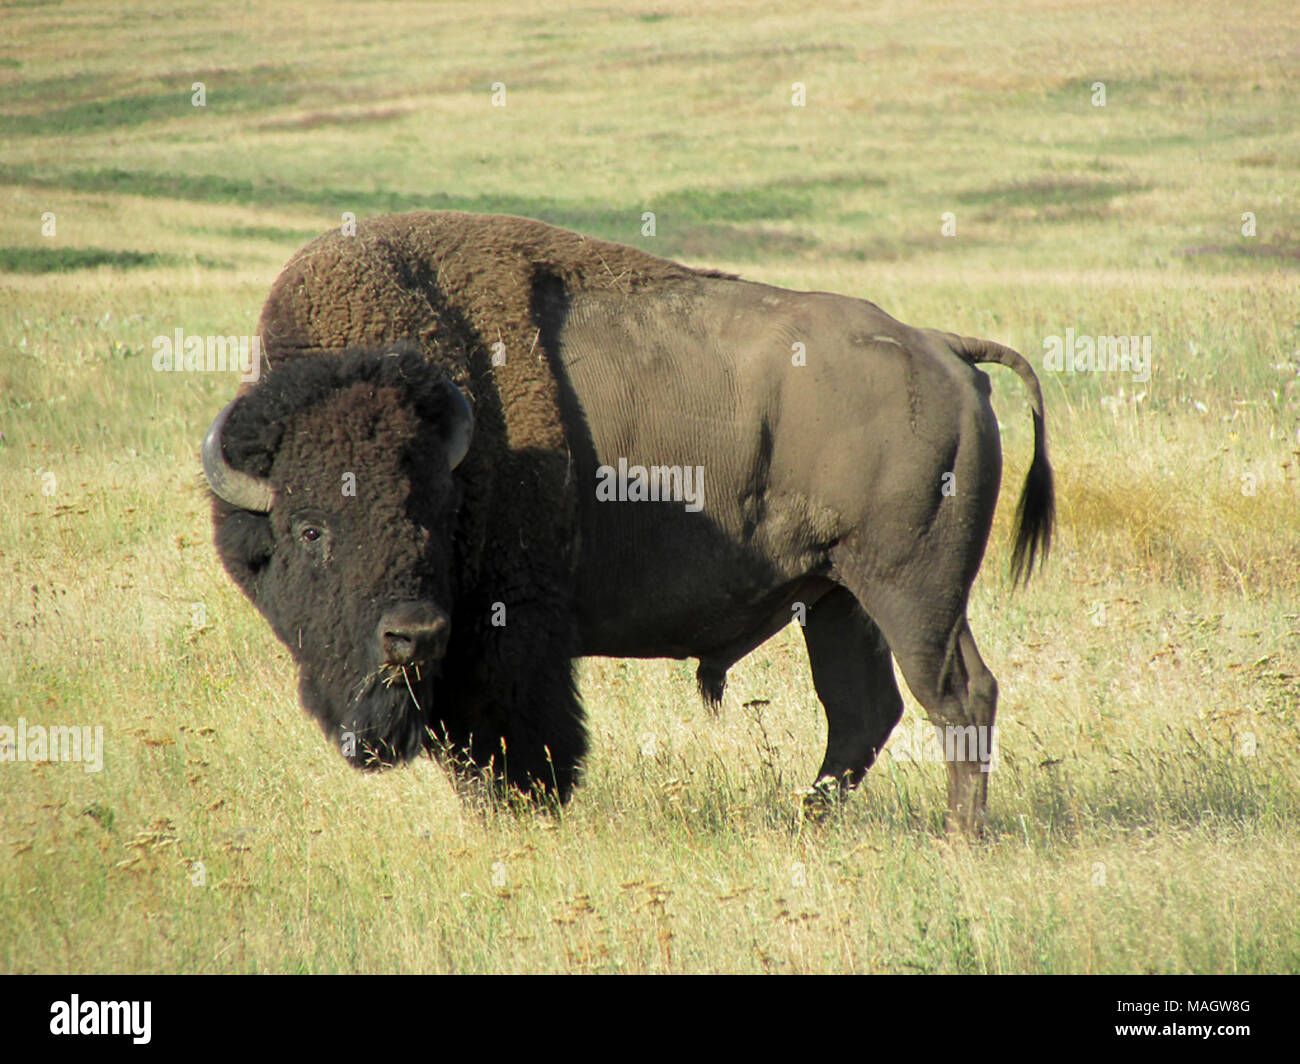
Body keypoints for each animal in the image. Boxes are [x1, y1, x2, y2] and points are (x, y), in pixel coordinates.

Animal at [203, 211, 1052, 835]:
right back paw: (804, 821)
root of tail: (943, 348)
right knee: (863, 712)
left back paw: (960, 840)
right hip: (840, 597)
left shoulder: (509, 640)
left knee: (958, 697)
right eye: (310, 529)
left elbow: (519, 743)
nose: (410, 633)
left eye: (431, 512)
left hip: (915, 595)